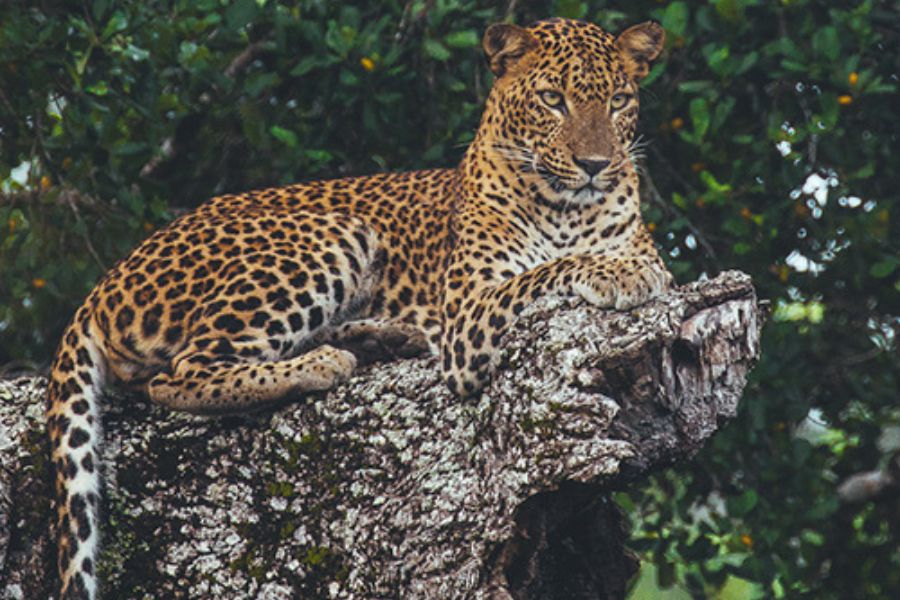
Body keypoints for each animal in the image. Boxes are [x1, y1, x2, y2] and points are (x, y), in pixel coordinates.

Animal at [45, 17, 671, 598]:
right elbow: (547, 271)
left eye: (618, 101)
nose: (596, 163)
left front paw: (626, 264)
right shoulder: (468, 315)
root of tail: (108, 279)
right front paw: (617, 272)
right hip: (332, 232)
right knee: (181, 374)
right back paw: (322, 363)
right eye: (551, 99)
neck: (569, 210)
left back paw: (381, 339)